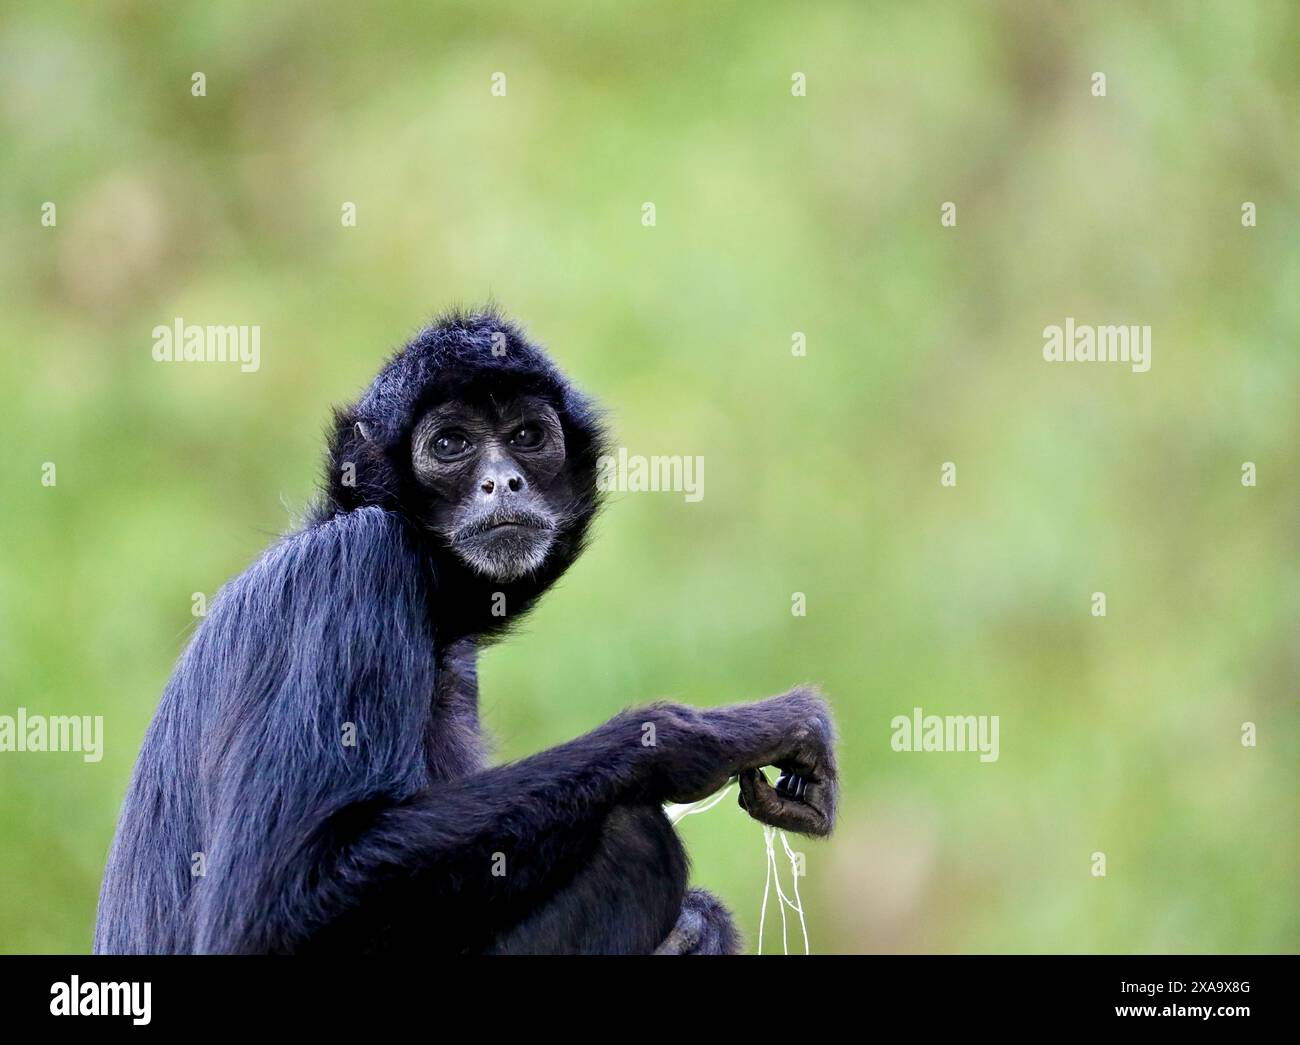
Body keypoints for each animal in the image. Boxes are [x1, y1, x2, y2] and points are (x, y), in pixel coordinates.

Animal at [94, 308, 838, 954]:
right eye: (450, 445)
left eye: (527, 438)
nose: (502, 481)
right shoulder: (358, 566)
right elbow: (271, 909)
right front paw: (693, 737)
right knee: (631, 835)